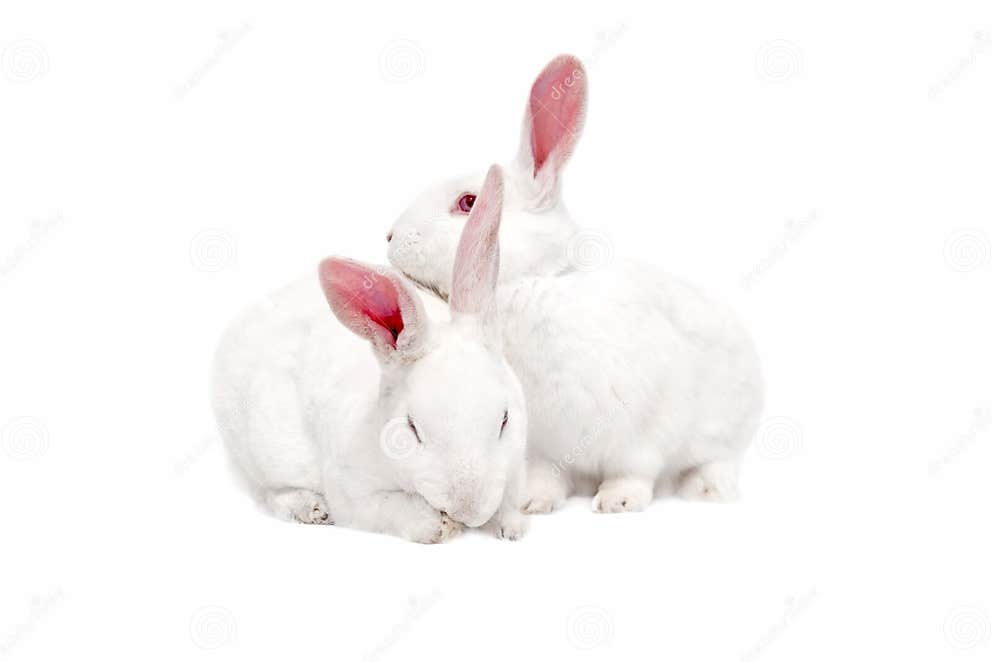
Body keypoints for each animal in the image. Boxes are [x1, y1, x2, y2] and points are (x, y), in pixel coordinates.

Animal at [212, 166, 529, 542]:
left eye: (504, 420)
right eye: (411, 428)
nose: (468, 509)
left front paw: (511, 527)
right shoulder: (354, 493)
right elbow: (396, 511)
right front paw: (440, 526)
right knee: (272, 493)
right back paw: (311, 509)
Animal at [385, 55, 764, 514]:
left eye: (468, 202)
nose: (389, 237)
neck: (537, 280)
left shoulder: (640, 432)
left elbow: (634, 470)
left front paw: (619, 501)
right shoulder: (542, 443)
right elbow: (547, 474)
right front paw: (533, 501)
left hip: (726, 430)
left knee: (717, 460)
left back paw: (707, 490)